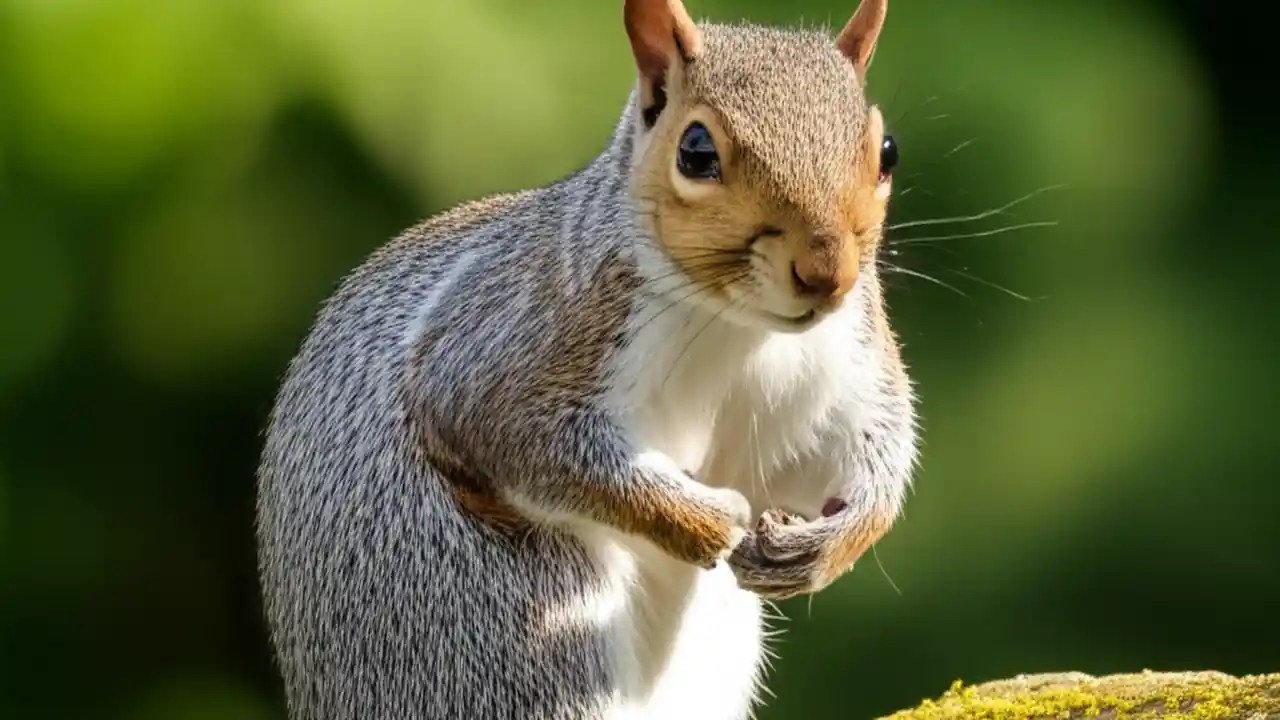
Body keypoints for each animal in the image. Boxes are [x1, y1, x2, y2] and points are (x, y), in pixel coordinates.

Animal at [255, 0, 918, 718]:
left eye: (887, 151)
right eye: (696, 152)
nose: (826, 274)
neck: (738, 327)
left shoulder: (842, 373)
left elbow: (864, 457)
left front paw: (826, 545)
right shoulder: (504, 345)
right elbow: (530, 442)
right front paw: (708, 520)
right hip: (509, 627)